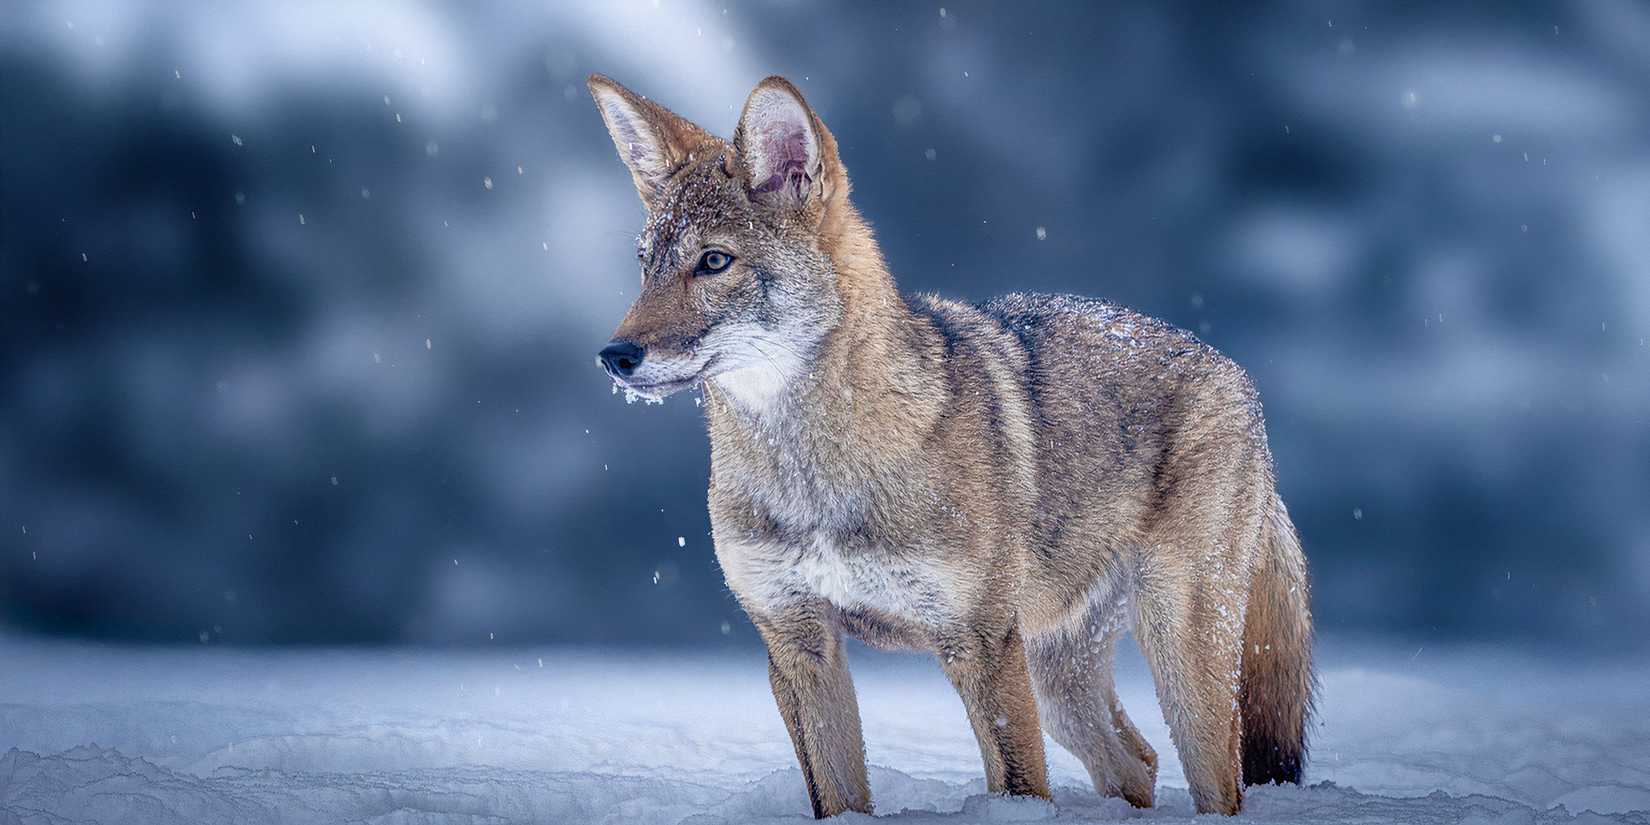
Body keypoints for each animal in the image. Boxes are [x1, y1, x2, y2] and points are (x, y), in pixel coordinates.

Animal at [586, 73, 1314, 817]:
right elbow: (838, 795)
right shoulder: (798, 642)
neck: (814, 472)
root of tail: (1233, 372)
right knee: (1136, 762)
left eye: (713, 262)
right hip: (1062, 682)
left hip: (1178, 662)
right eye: (645, 268)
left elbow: (1020, 788)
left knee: (1216, 784)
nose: (615, 356)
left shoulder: (980, 644)